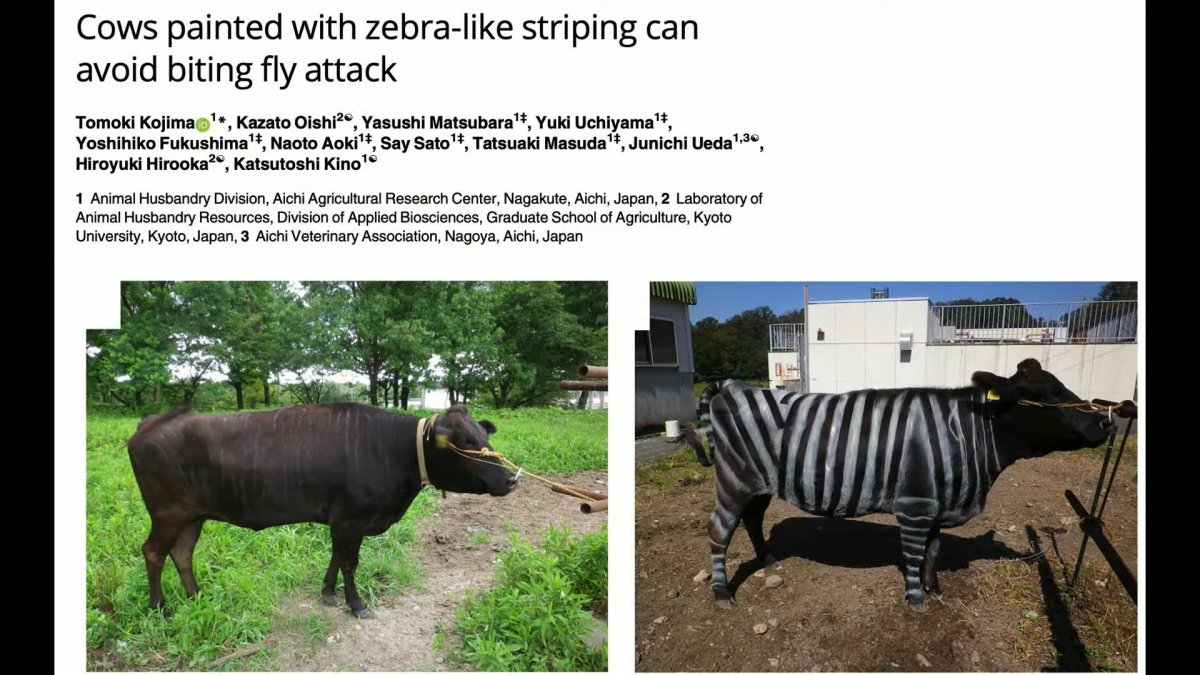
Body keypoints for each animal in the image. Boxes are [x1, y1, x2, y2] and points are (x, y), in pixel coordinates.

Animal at [126, 402, 517, 618]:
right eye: (465, 442)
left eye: (484, 437)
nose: (512, 478)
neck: (394, 450)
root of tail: (152, 421)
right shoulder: (351, 519)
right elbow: (349, 562)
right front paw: (356, 604)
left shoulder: (339, 520)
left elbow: (335, 557)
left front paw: (328, 592)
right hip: (167, 514)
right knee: (153, 552)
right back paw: (159, 608)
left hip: (192, 515)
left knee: (181, 553)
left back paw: (197, 597)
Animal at [680, 358, 1114, 609]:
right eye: (1045, 396)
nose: (1105, 422)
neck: (966, 435)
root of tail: (732, 387)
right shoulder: (916, 505)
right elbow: (915, 553)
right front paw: (917, 599)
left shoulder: (938, 503)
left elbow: (934, 551)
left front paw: (935, 590)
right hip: (734, 479)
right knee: (719, 531)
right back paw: (722, 594)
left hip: (759, 483)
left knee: (752, 520)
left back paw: (769, 560)